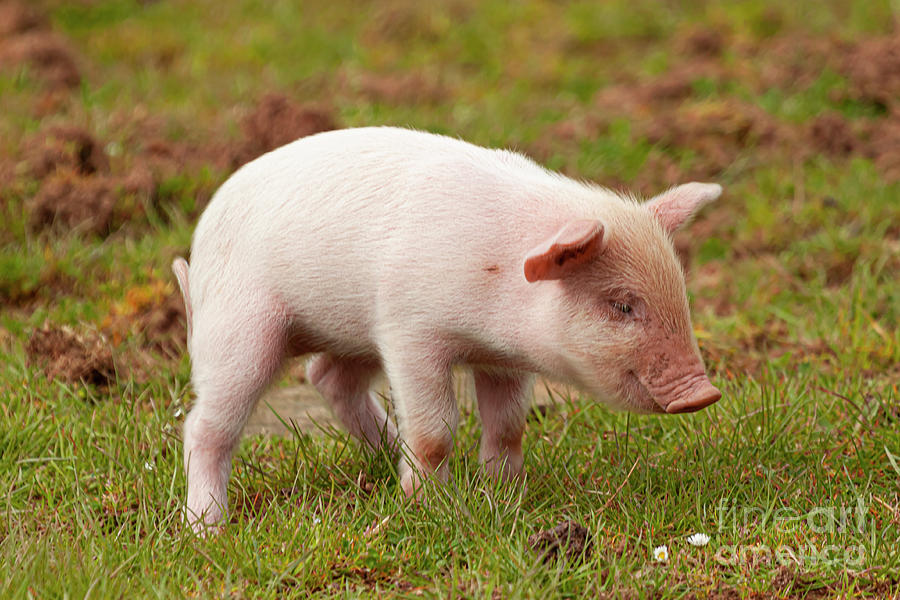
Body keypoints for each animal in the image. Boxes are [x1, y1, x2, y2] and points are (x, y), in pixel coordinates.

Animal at [172, 126, 722, 530]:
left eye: (681, 294)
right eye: (622, 305)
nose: (704, 393)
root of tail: (202, 234)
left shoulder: (504, 360)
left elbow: (508, 424)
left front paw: (505, 494)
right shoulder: (408, 332)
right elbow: (435, 430)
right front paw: (430, 506)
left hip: (352, 333)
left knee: (328, 378)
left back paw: (388, 455)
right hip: (240, 327)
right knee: (206, 425)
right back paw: (207, 529)